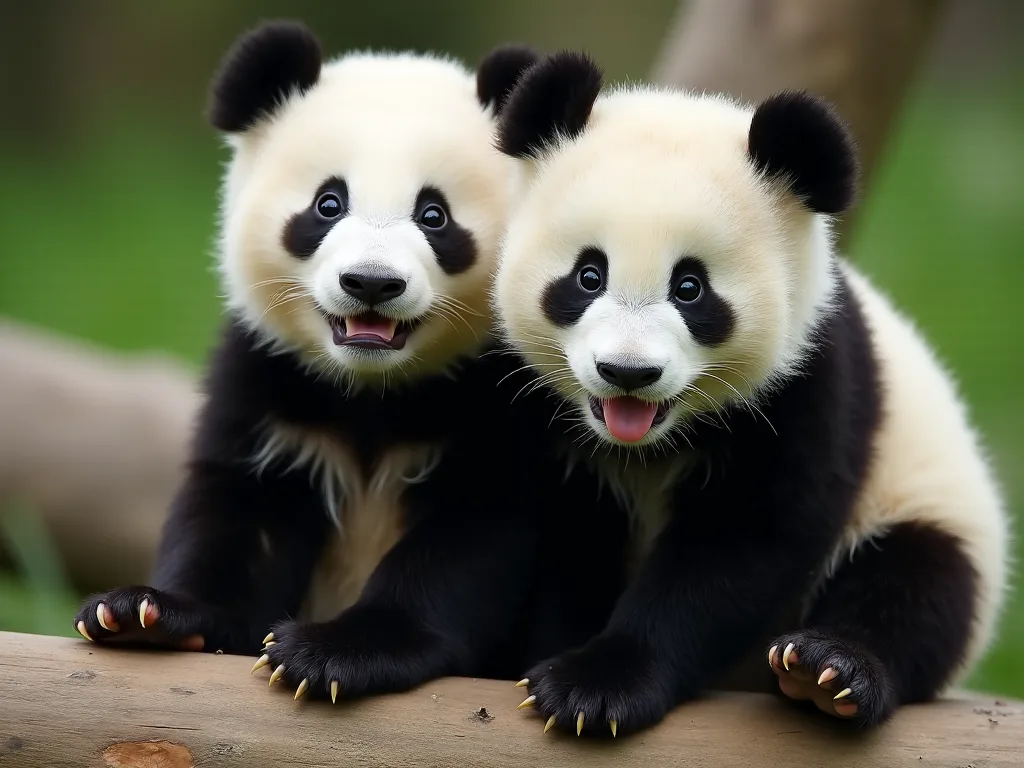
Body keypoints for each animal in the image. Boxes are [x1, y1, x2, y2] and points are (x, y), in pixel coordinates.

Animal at [71, 21, 572, 703]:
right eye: (327, 204)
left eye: (434, 215)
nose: (371, 282)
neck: (370, 386)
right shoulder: (268, 383)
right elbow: (236, 517)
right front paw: (146, 614)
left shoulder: (492, 401)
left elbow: (466, 543)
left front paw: (336, 652)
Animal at [493, 51, 1010, 737]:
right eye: (588, 275)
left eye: (690, 287)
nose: (627, 372)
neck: (650, 444)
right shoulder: (543, 422)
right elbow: (569, 547)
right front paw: (559, 666)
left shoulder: (808, 383)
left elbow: (743, 545)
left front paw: (596, 688)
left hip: (926, 500)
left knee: (917, 586)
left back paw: (829, 671)